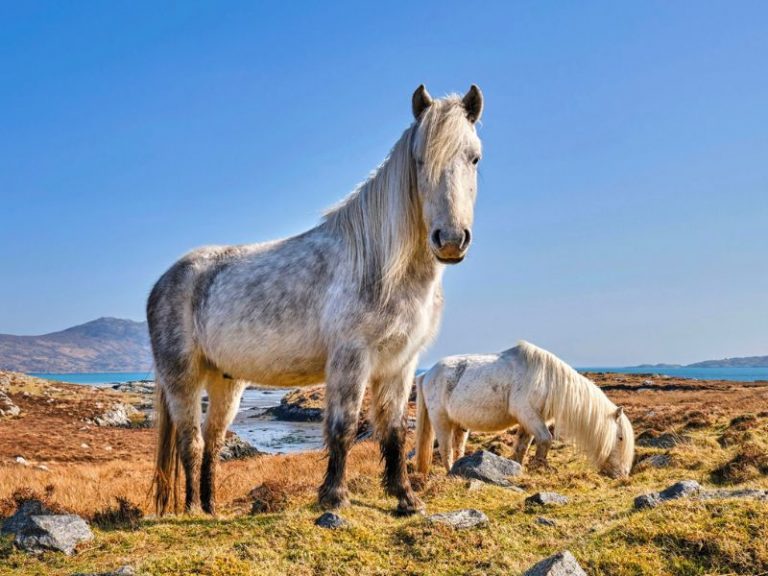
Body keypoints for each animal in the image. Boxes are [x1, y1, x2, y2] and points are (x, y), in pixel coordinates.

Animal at [148, 84, 484, 516]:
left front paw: (405, 498)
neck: (380, 265)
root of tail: (165, 280)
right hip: (183, 380)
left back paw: (210, 509)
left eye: (474, 157)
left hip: (226, 381)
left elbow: (394, 431)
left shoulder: (400, 365)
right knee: (190, 441)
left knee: (213, 441)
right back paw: (191, 510)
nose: (451, 240)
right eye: (420, 159)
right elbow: (343, 427)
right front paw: (334, 496)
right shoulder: (350, 359)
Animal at [415, 341, 635, 478]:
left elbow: (522, 447)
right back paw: (450, 472)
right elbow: (545, 439)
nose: (622, 475)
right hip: (441, 420)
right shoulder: (528, 415)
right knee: (446, 450)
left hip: (460, 424)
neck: (547, 379)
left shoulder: (529, 421)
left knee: (458, 448)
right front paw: (540, 468)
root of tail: (427, 374)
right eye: (620, 438)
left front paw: (517, 469)